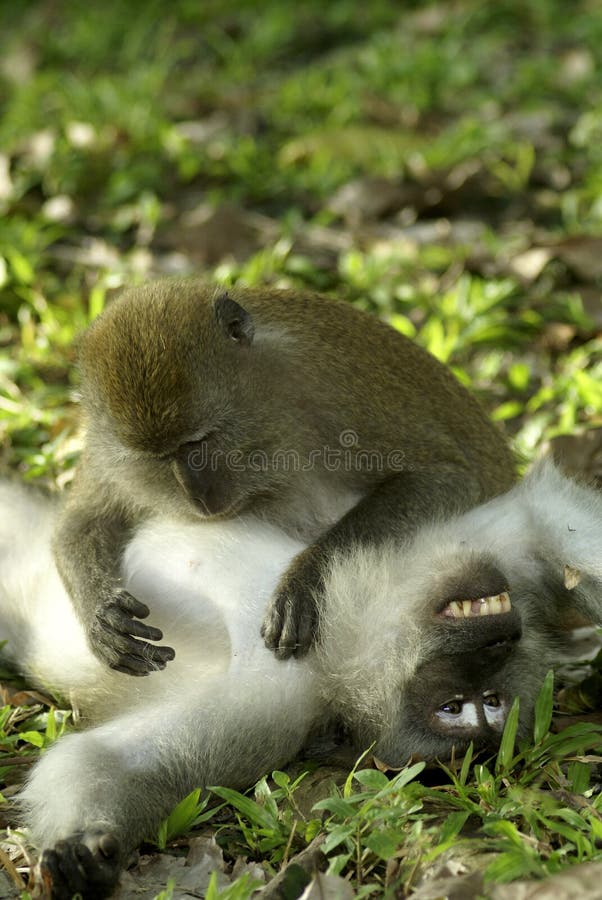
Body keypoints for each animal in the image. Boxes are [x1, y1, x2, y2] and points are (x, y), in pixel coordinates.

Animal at [1, 462, 601, 899]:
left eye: (485, 704)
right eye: (457, 706)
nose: (496, 643)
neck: (325, 639)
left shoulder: (271, 707)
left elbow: (110, 760)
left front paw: (82, 847)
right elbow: (544, 522)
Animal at [52, 278, 515, 675]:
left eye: (199, 441)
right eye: (161, 456)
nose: (198, 496)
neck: (268, 392)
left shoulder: (334, 385)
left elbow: (447, 477)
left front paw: (305, 578)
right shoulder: (103, 435)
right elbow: (82, 523)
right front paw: (102, 614)